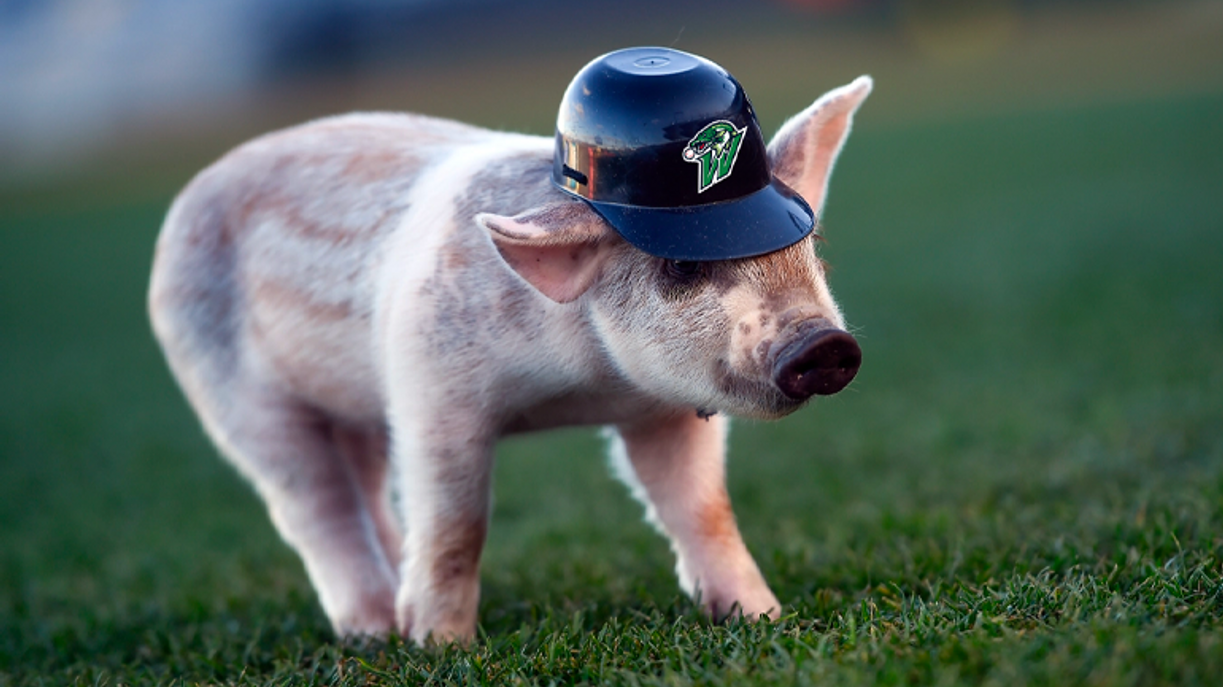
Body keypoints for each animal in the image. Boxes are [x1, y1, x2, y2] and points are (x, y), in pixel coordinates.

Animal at [148, 74, 872, 644]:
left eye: (809, 248)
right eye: (683, 265)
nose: (824, 343)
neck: (583, 387)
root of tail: (188, 195)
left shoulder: (660, 413)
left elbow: (702, 507)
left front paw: (764, 618)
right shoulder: (431, 387)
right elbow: (456, 522)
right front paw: (441, 648)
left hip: (354, 409)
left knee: (366, 489)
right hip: (233, 393)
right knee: (313, 504)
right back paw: (378, 632)